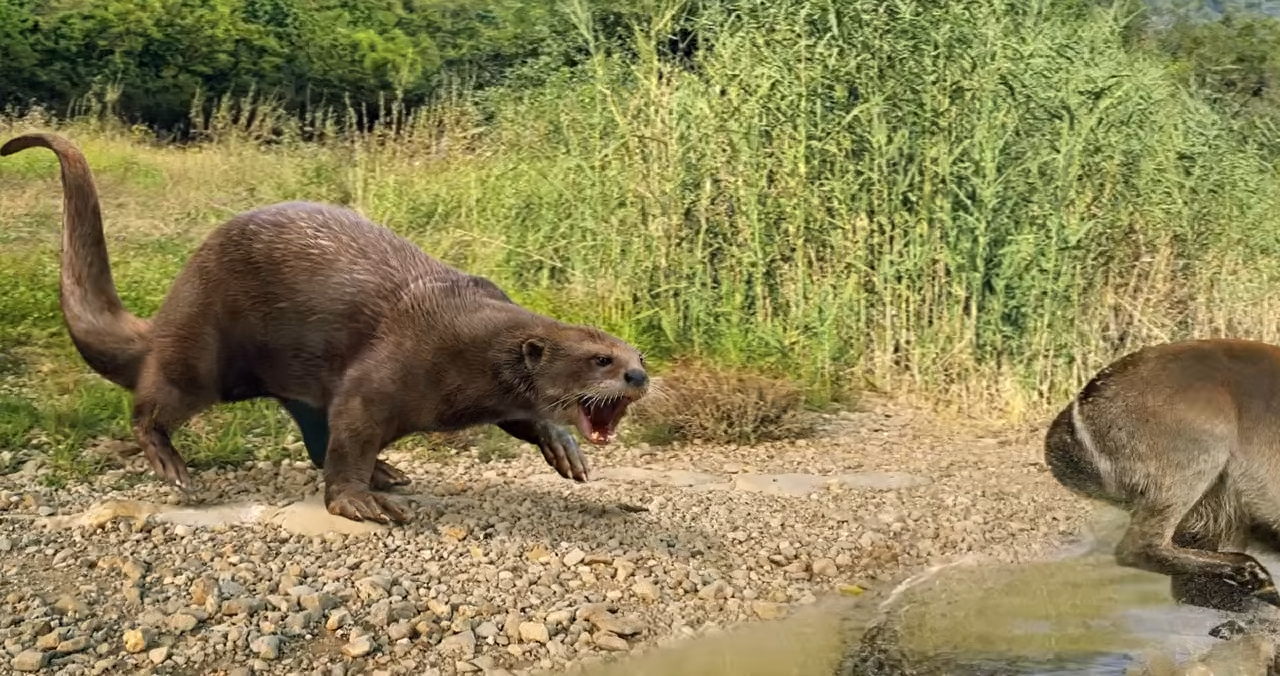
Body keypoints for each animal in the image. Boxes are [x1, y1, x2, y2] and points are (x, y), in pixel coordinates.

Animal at [2, 131, 650, 524]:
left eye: (635, 352)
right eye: (601, 359)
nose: (640, 377)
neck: (465, 343)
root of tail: (165, 315)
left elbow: (520, 416)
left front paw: (562, 445)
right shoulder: (390, 370)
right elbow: (353, 432)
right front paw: (359, 503)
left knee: (314, 428)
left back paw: (390, 471)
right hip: (199, 349)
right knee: (154, 402)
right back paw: (174, 467)